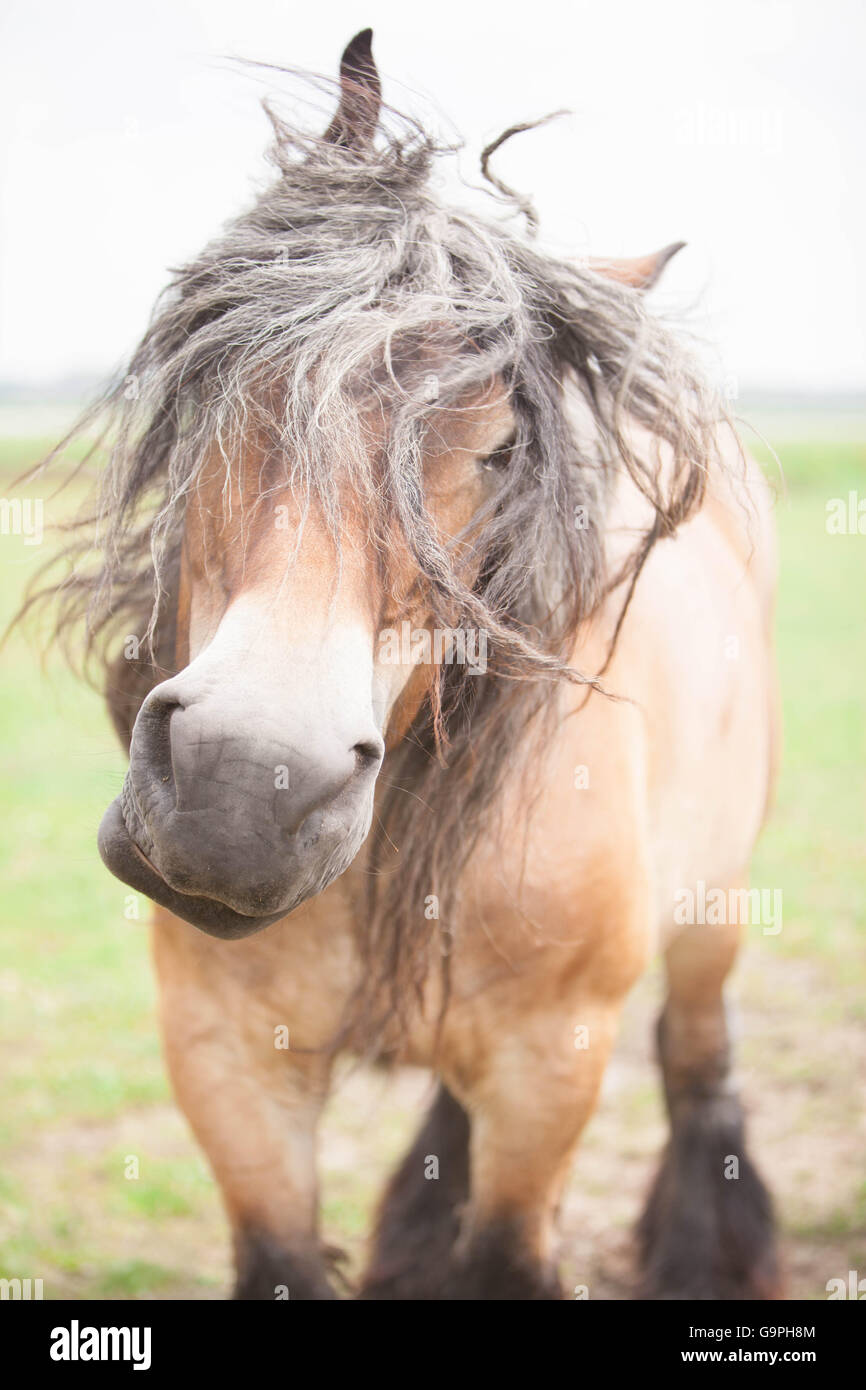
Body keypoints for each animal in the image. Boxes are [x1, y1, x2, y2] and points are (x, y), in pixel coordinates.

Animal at [26, 29, 781, 1300]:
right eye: (239, 375)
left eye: (498, 449)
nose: (242, 789)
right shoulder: (230, 1065)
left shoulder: (547, 1069)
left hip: (711, 913)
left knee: (696, 1064)